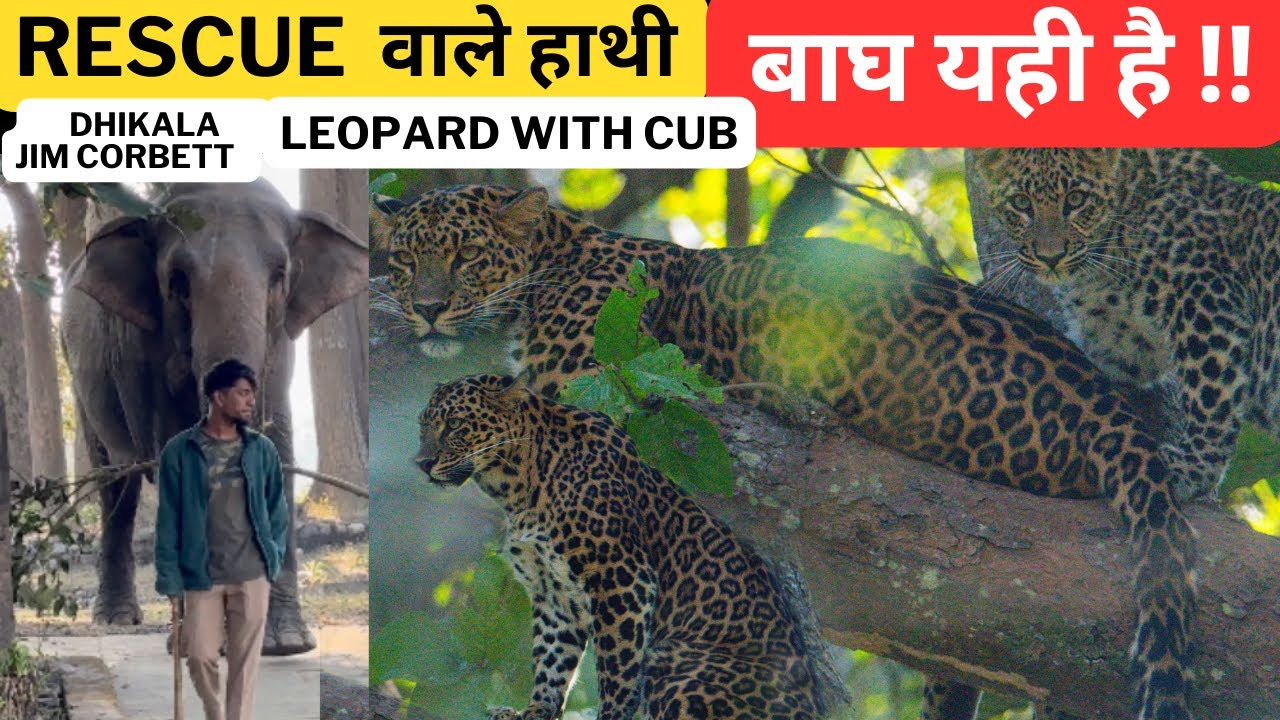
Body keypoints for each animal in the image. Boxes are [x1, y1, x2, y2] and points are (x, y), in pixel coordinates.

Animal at [416, 373, 844, 720]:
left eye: (454, 424)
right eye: (422, 428)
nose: (421, 463)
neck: (518, 484)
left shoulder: (621, 578)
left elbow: (617, 668)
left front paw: (610, 715)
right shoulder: (553, 595)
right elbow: (551, 660)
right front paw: (535, 711)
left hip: (674, 657)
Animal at [972, 148, 1280, 504]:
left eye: (1076, 199)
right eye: (1021, 203)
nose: (1051, 257)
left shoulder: (1207, 299)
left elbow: (1212, 396)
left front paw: (1194, 468)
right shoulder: (1120, 340)